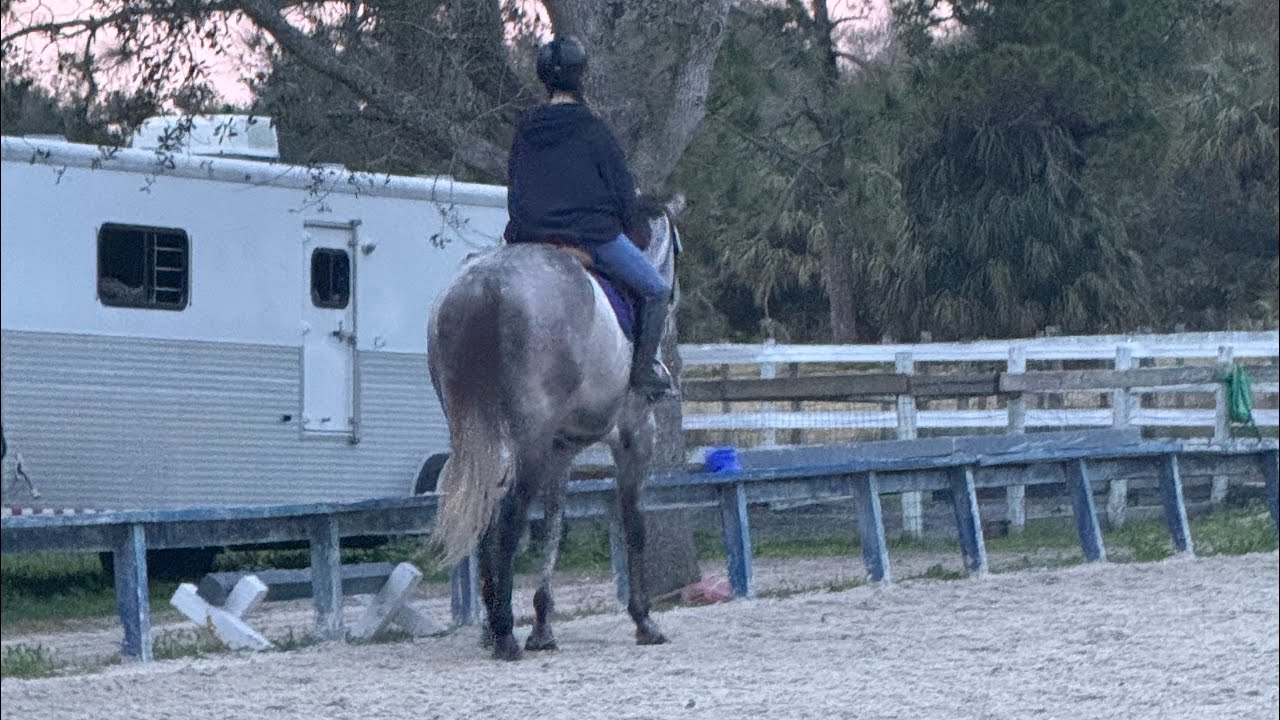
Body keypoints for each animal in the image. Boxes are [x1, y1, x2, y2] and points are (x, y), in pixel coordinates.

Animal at [426, 200, 680, 661]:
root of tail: (482, 286)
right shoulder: (635, 435)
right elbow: (634, 523)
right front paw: (644, 620)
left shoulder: (561, 448)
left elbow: (554, 524)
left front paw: (543, 625)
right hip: (529, 438)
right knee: (510, 517)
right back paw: (505, 635)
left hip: (483, 436)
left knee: (489, 512)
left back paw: (493, 627)